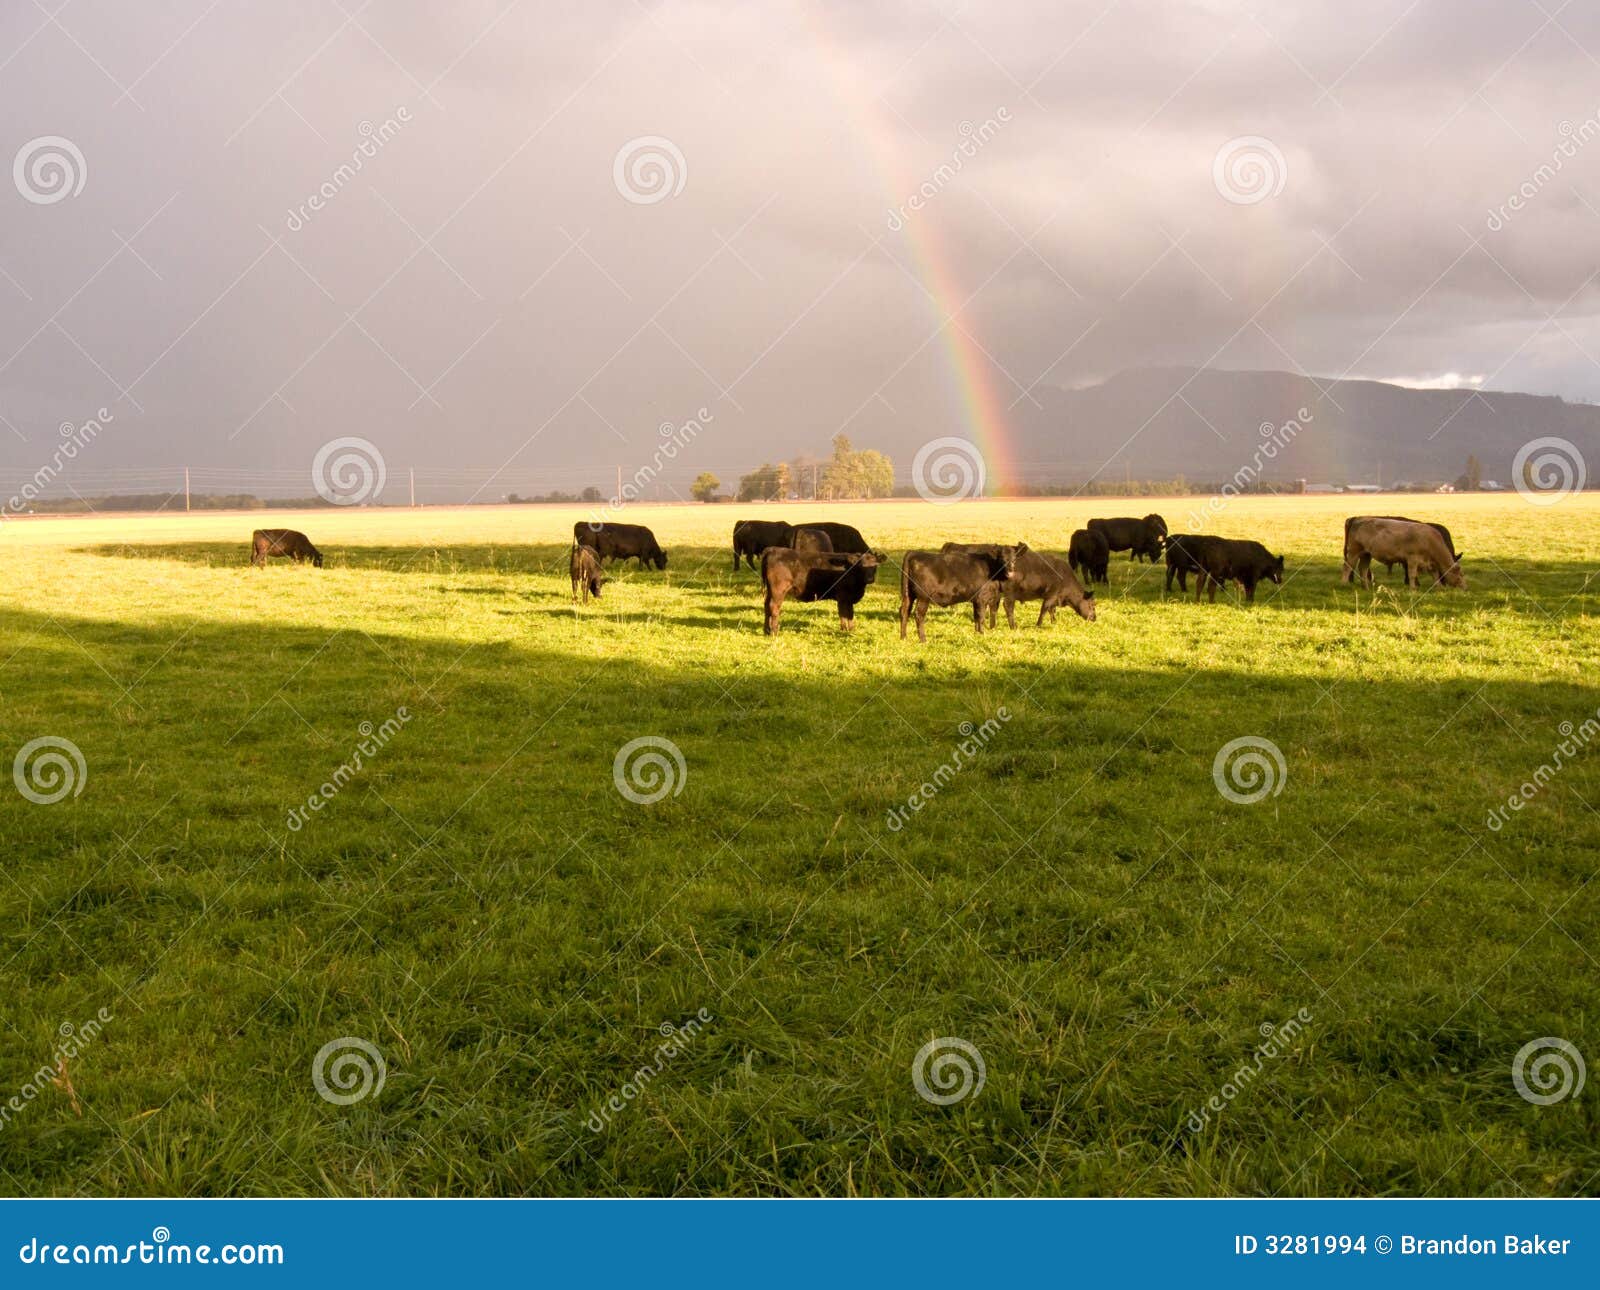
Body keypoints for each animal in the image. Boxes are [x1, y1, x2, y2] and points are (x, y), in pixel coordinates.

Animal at [899, 544, 1027, 641]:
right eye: (1001, 557)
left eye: (1014, 557)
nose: (1010, 569)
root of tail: (914, 553)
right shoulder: (982, 598)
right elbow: (981, 617)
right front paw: (982, 634)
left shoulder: (976, 600)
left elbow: (976, 617)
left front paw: (976, 633)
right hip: (923, 597)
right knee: (919, 614)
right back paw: (923, 639)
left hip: (908, 595)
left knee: (904, 611)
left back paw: (903, 637)